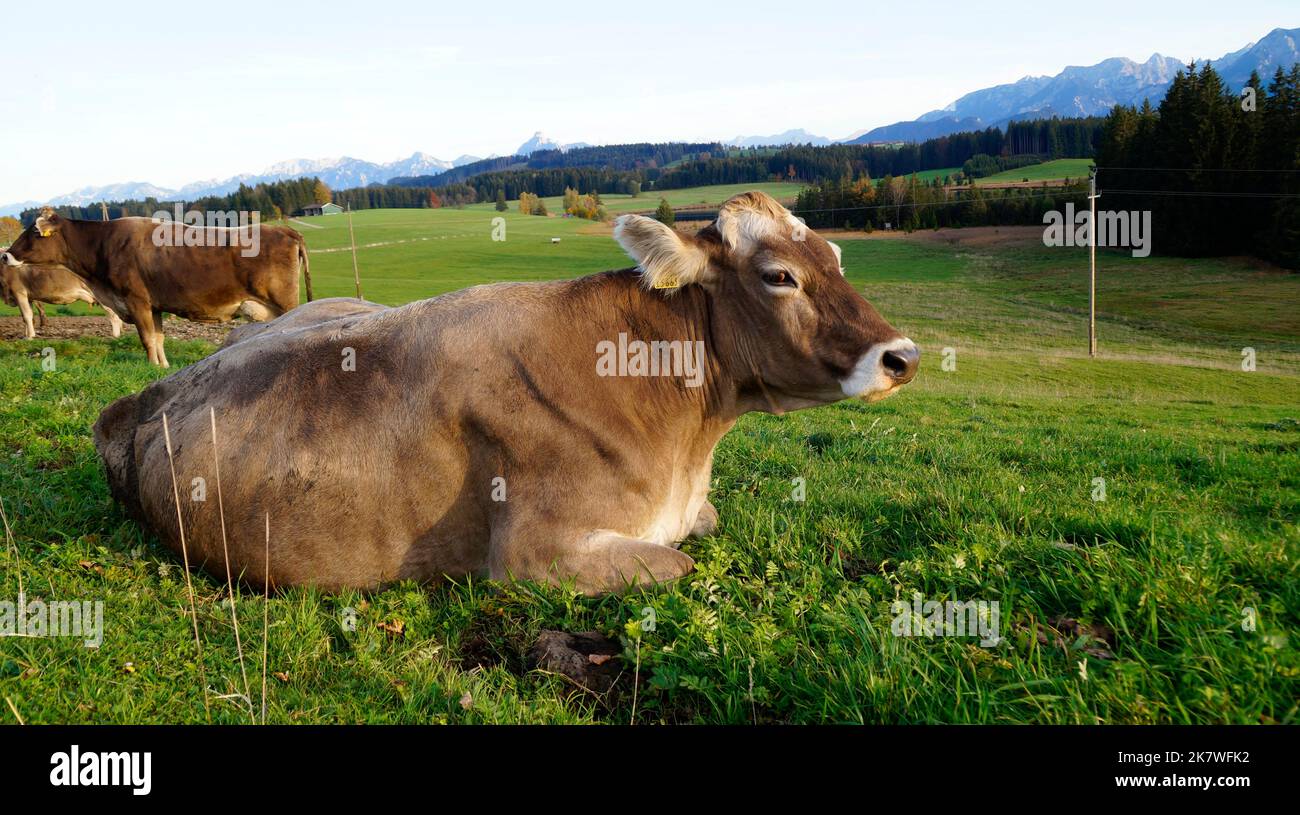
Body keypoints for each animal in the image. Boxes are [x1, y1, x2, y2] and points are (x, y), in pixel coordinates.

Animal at [0, 207, 312, 367]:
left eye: (34, 232)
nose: (6, 255)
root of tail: (285, 230)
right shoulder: (155, 306)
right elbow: (159, 339)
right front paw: (163, 367)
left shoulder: (136, 300)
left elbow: (147, 339)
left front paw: (151, 366)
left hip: (285, 302)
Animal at [92, 191, 920, 595]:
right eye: (780, 275)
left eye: (836, 254)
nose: (902, 355)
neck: (687, 442)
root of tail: (145, 395)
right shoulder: (532, 554)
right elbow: (678, 563)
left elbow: (700, 528)